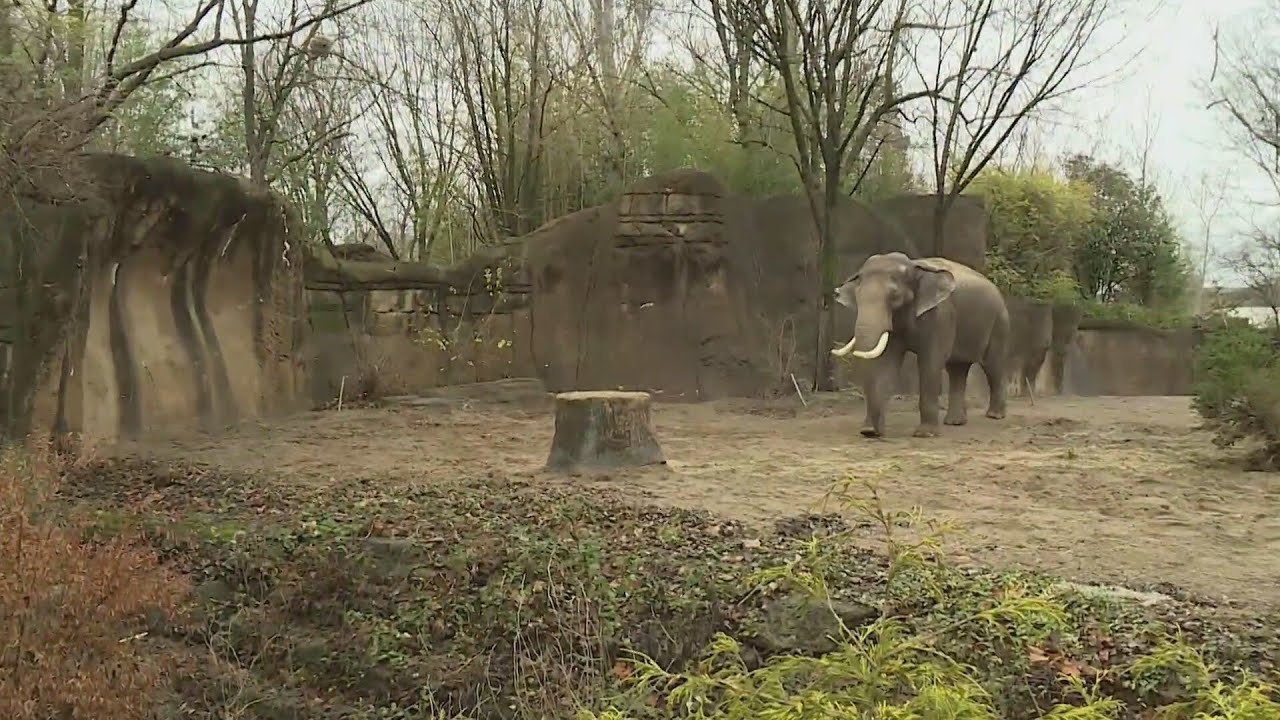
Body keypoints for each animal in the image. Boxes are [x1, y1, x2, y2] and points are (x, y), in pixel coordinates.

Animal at [830, 252, 1010, 438]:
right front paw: (870, 431)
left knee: (993, 366)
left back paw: (995, 415)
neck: (914, 266)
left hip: (999, 323)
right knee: (957, 369)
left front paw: (925, 434)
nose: (868, 432)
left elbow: (930, 361)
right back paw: (955, 422)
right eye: (857, 297)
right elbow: (886, 362)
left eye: (894, 295)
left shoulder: (940, 315)